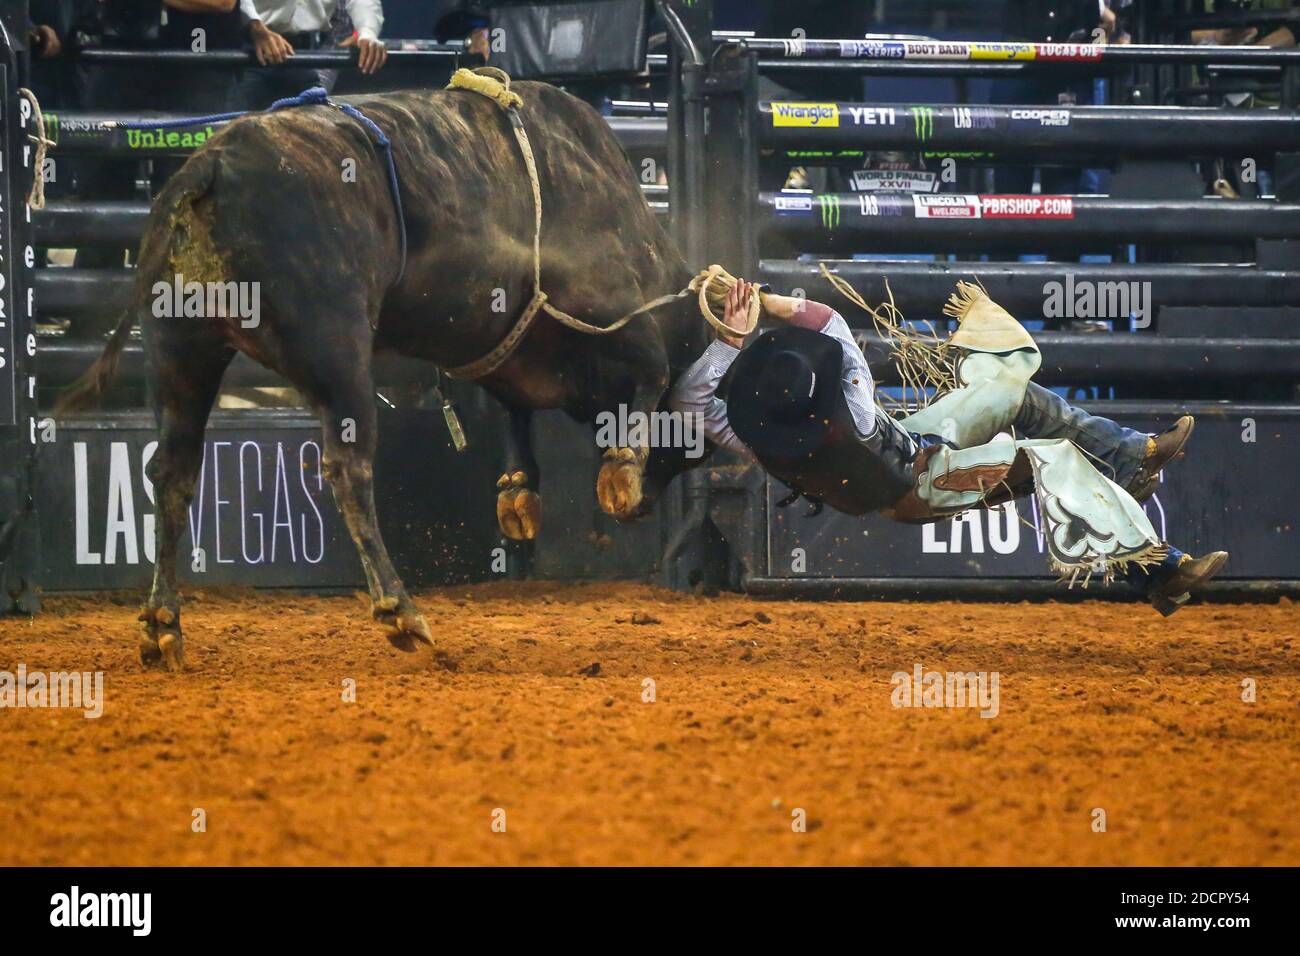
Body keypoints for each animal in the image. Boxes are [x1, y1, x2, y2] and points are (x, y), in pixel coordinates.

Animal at [57, 79, 713, 671]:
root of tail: (209, 167)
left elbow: (518, 410)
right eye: (692, 445)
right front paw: (622, 469)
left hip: (179, 351)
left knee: (172, 472)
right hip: (336, 351)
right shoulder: (605, 307)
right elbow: (652, 369)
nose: (646, 509)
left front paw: (520, 492)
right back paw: (401, 612)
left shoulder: (505, 347)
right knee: (347, 469)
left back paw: (163, 625)